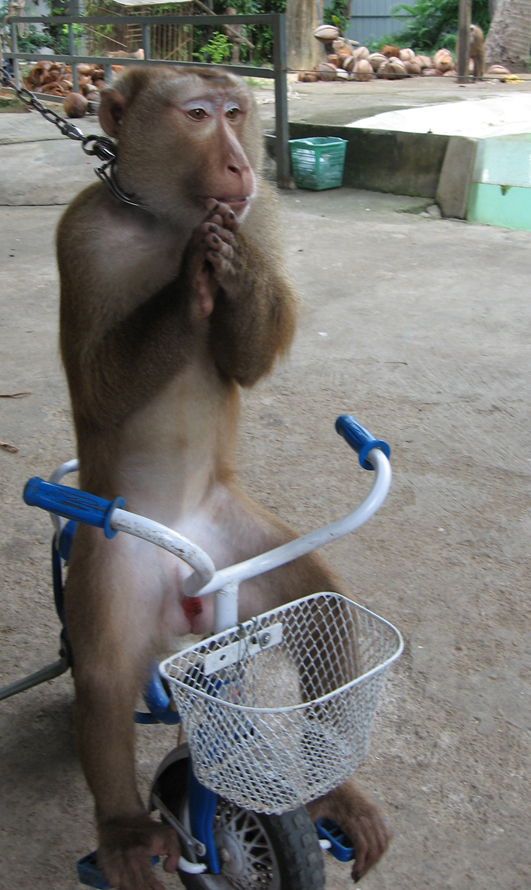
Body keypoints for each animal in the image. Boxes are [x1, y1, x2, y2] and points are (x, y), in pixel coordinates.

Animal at [56, 65, 391, 890]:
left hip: (237, 542)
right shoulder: (80, 234)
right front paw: (187, 286)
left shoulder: (258, 213)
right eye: (198, 114)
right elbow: (99, 386)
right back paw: (122, 833)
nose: (240, 162)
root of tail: (190, 603)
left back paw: (333, 789)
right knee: (103, 673)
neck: (167, 220)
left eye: (236, 112)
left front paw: (231, 269)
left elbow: (248, 358)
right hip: (118, 558)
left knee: (320, 607)